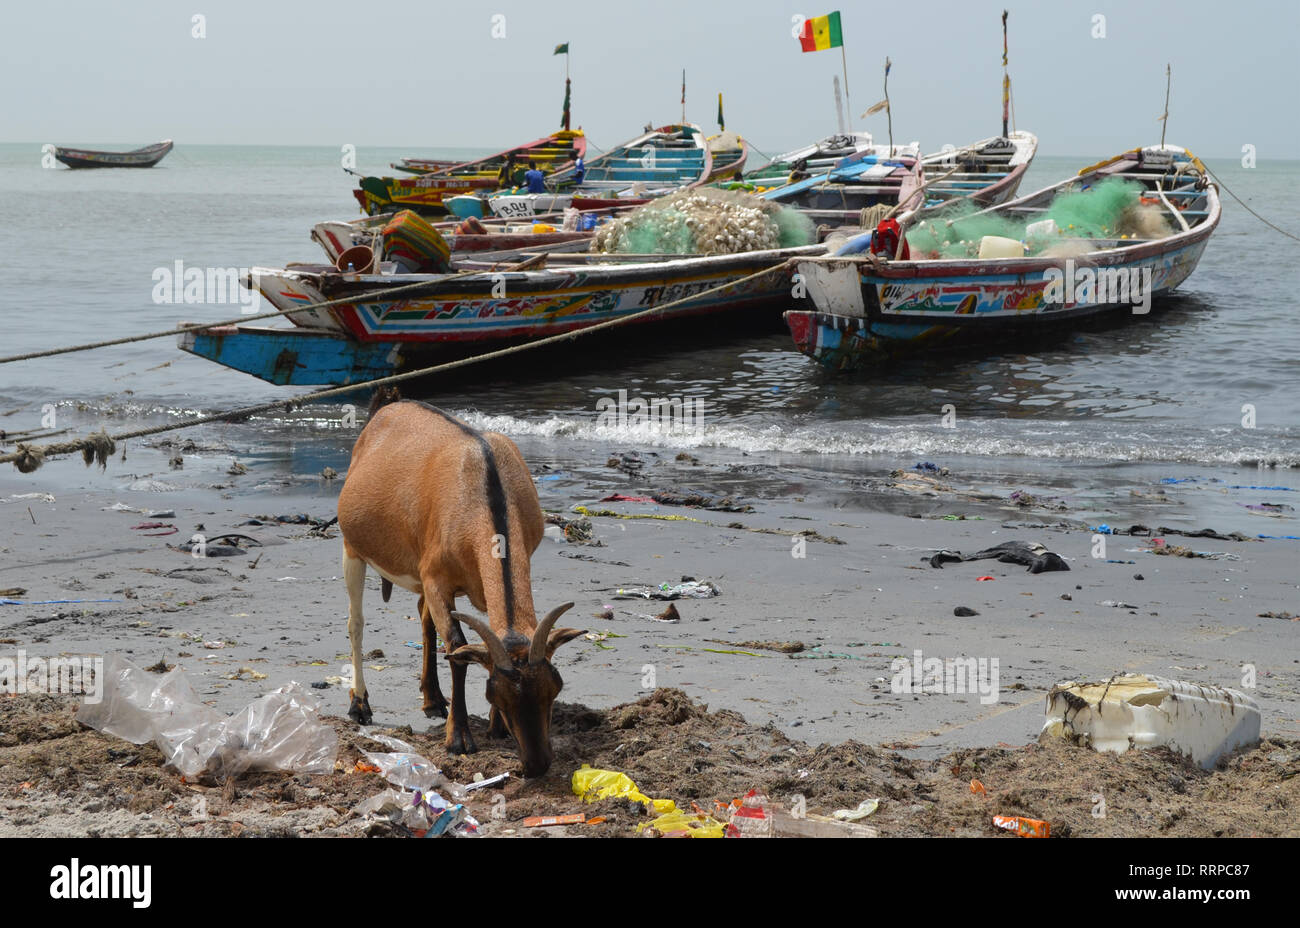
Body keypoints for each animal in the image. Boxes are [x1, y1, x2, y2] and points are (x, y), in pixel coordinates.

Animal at [337, 393, 583, 777]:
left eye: (554, 689)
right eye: (494, 693)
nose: (537, 764)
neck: (485, 486)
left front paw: (494, 728)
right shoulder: (437, 578)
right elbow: (457, 648)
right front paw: (459, 738)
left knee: (423, 618)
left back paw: (433, 699)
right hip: (353, 547)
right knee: (356, 623)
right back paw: (360, 704)